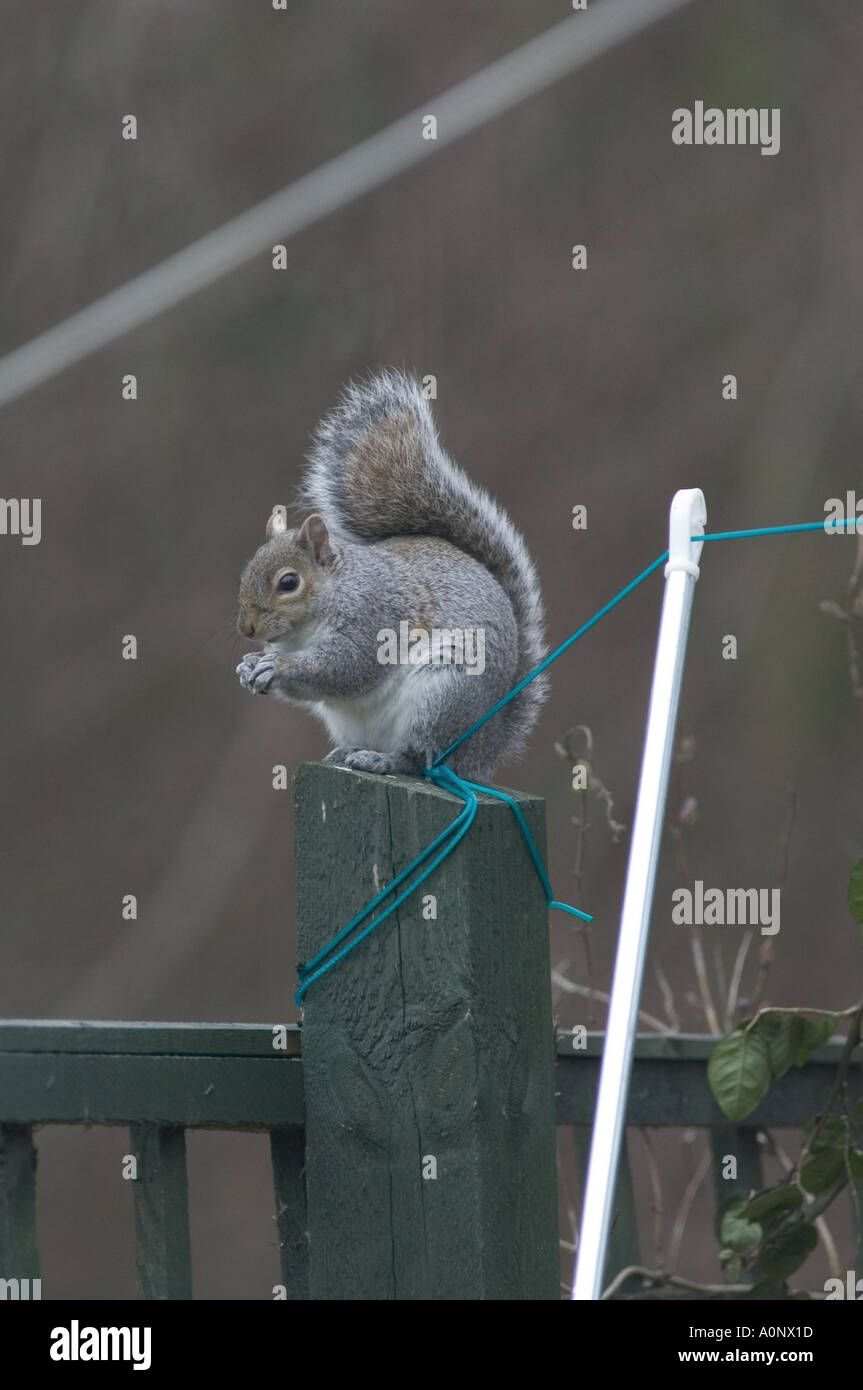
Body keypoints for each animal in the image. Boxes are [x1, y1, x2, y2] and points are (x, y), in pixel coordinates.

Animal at [236, 370, 547, 781]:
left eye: (289, 583)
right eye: (246, 571)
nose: (247, 629)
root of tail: (485, 750)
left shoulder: (375, 618)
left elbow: (347, 667)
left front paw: (278, 666)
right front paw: (249, 665)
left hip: (443, 692)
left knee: (422, 759)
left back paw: (383, 760)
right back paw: (349, 752)